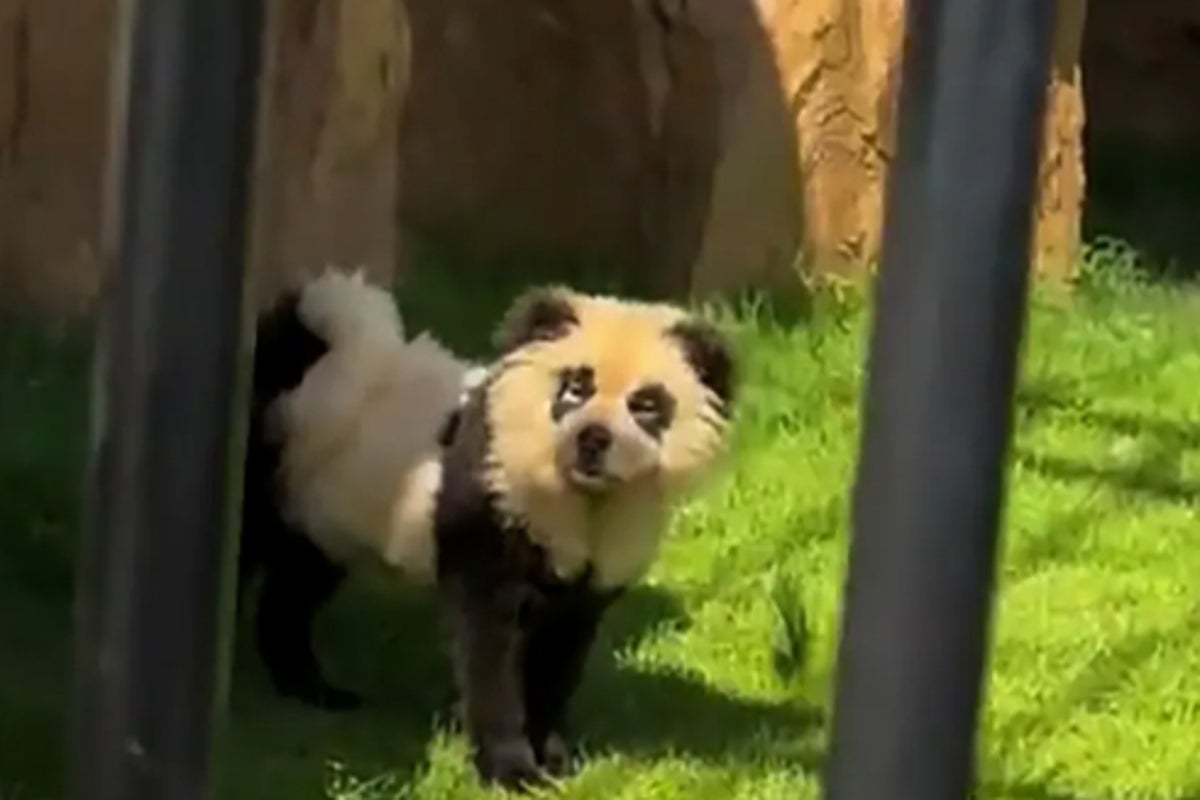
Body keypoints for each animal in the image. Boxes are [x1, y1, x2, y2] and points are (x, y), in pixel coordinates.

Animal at [240, 270, 737, 791]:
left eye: (646, 405)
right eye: (574, 388)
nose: (592, 441)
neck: (579, 498)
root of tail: (301, 351)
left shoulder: (585, 580)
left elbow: (559, 656)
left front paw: (555, 760)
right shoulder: (488, 515)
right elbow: (489, 651)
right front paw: (511, 771)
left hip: (325, 514)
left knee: (293, 592)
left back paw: (312, 688)